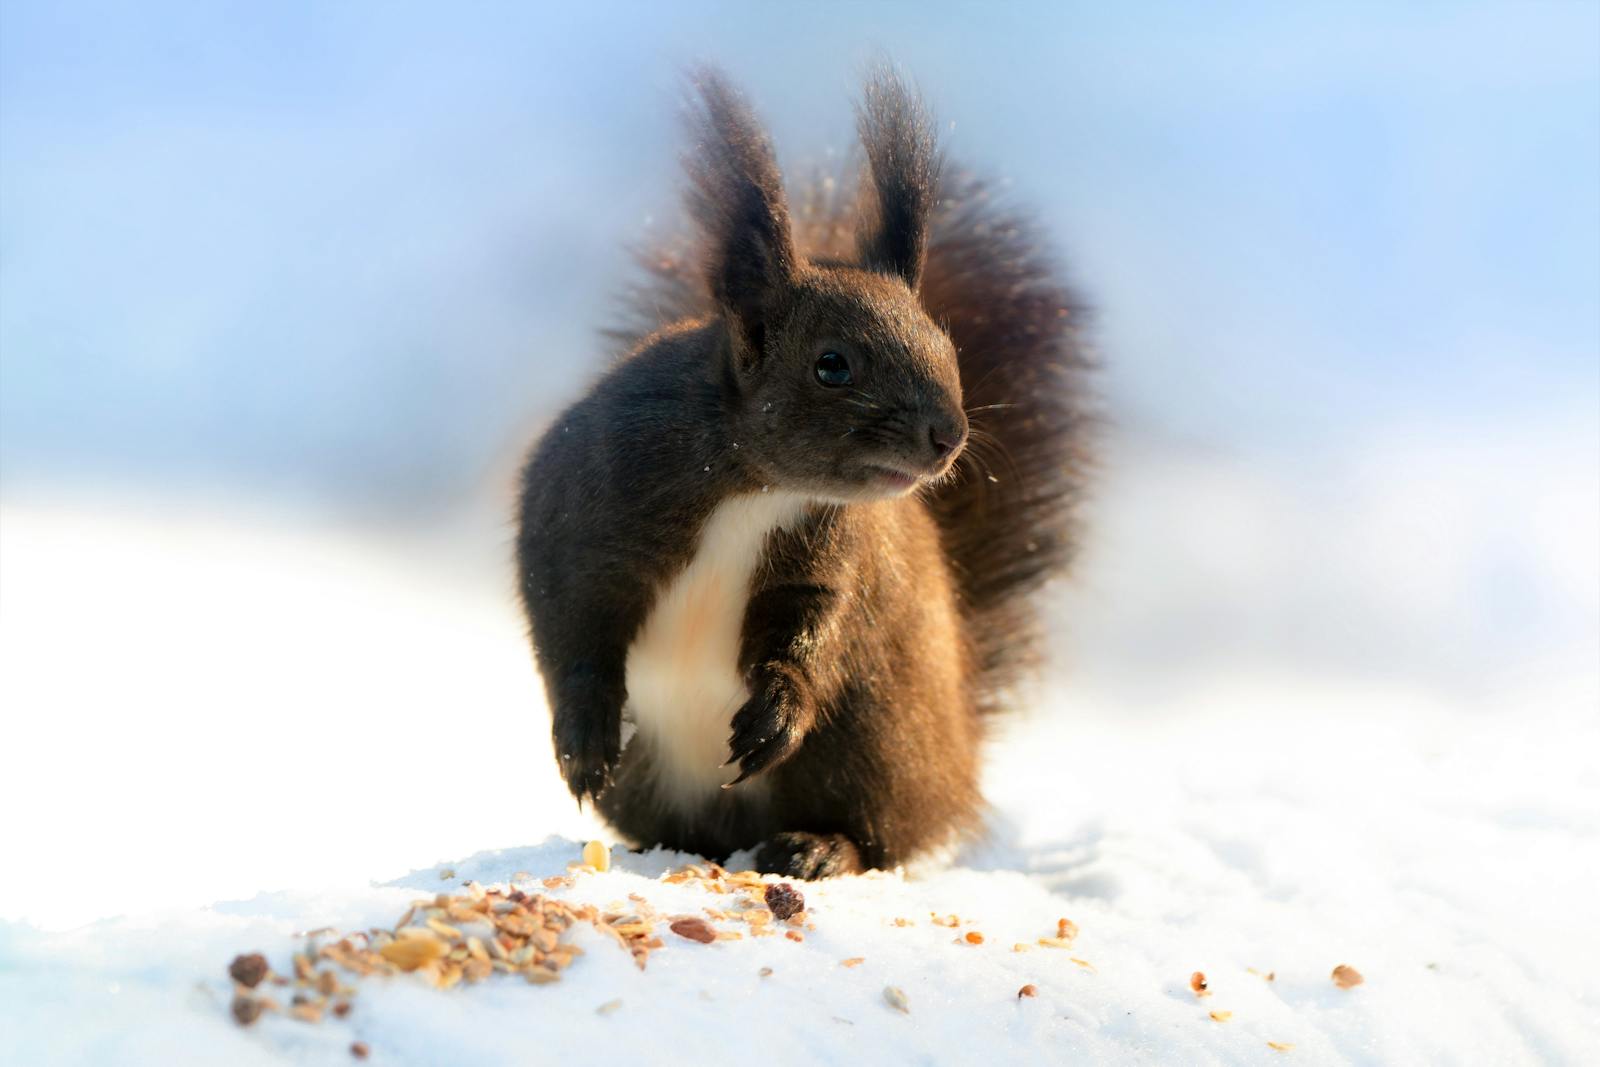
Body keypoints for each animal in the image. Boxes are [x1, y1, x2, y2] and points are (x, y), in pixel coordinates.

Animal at [515, 67, 1091, 879]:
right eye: (832, 365)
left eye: (947, 347)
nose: (948, 435)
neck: (758, 487)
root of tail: (959, 761)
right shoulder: (584, 509)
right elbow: (568, 624)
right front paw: (585, 737)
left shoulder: (828, 554)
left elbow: (811, 628)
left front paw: (777, 714)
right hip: (666, 776)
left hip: (871, 743)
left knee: (880, 839)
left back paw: (817, 847)